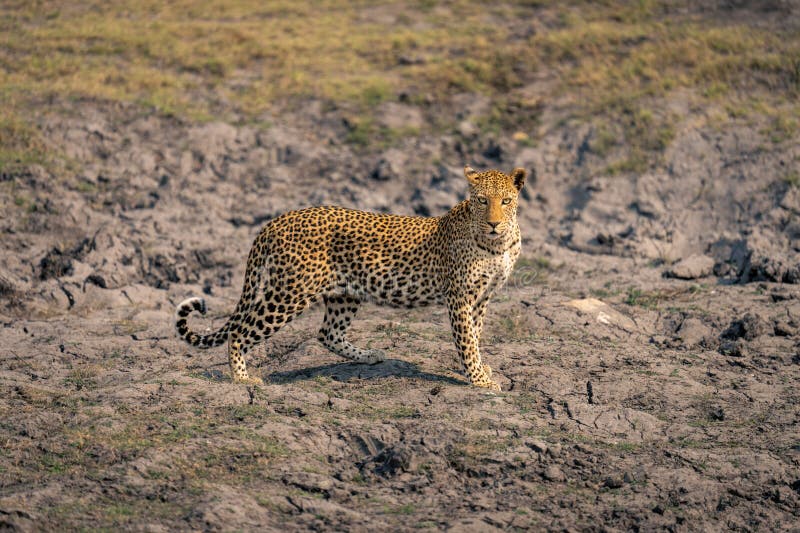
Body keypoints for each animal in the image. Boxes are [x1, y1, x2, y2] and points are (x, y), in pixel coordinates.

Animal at [175, 165, 528, 391]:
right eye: (482, 200)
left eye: (506, 200)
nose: (494, 223)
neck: (497, 244)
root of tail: (277, 219)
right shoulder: (459, 296)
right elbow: (466, 339)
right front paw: (479, 380)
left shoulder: (482, 296)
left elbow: (475, 334)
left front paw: (479, 369)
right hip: (290, 293)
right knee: (240, 331)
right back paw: (242, 378)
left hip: (344, 292)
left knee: (327, 333)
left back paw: (370, 356)